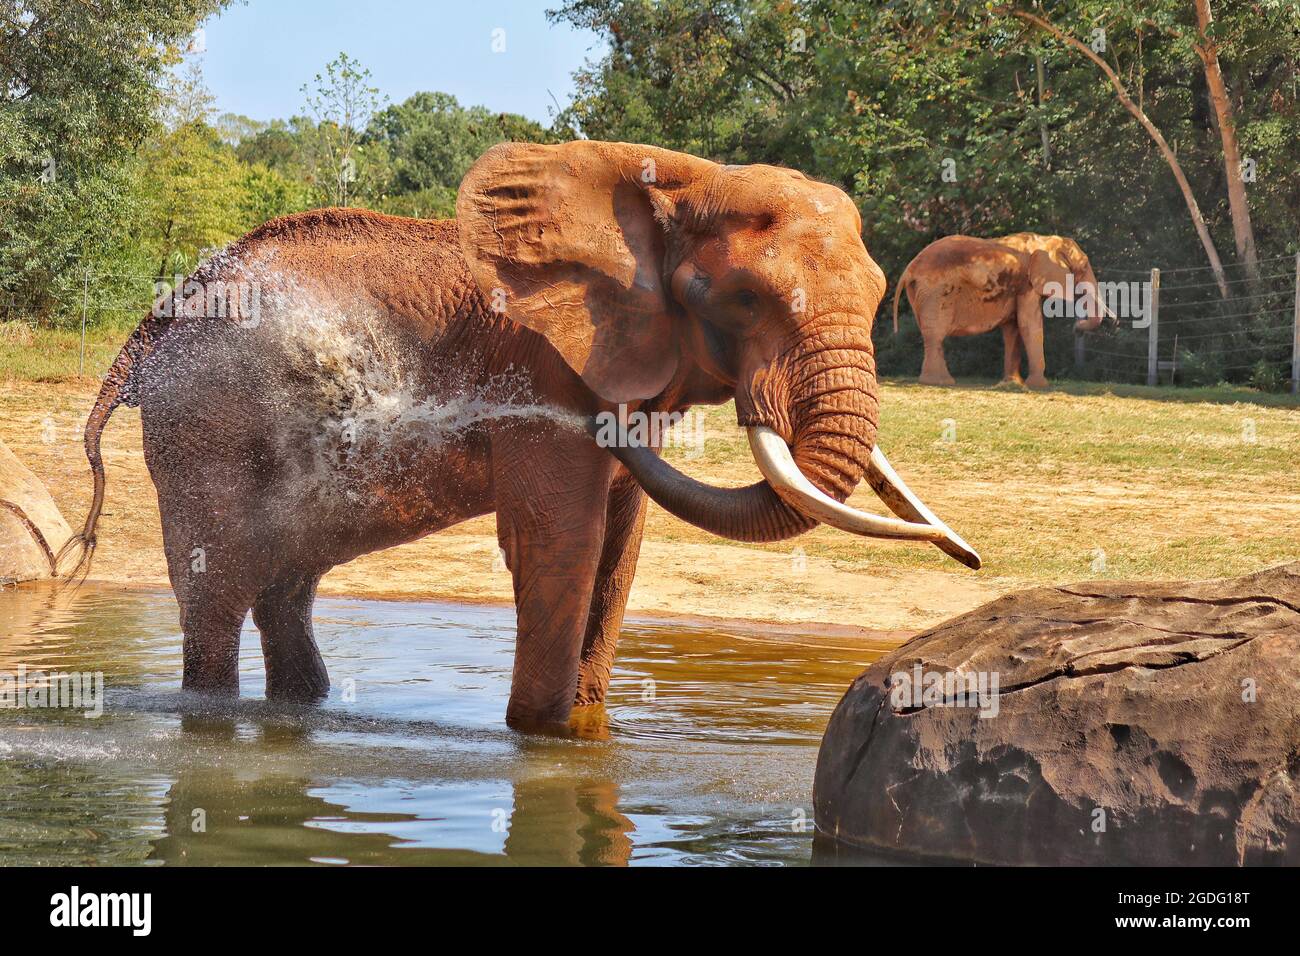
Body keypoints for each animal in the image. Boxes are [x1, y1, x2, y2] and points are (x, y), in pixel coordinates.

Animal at [61, 140, 979, 731]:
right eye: (744, 299)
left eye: (878, 293)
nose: (972, 559)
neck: (670, 191)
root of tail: (154, 322)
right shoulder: (550, 378)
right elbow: (561, 539)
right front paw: (543, 742)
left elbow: (620, 546)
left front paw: (584, 727)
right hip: (204, 428)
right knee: (217, 593)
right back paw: (211, 718)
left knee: (286, 582)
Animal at [891, 232, 1107, 388]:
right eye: (1084, 267)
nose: (1077, 327)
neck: (1046, 241)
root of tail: (909, 269)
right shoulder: (1027, 285)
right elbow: (1029, 324)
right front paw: (1039, 386)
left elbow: (1013, 328)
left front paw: (1012, 384)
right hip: (935, 292)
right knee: (935, 334)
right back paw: (941, 383)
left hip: (921, 293)